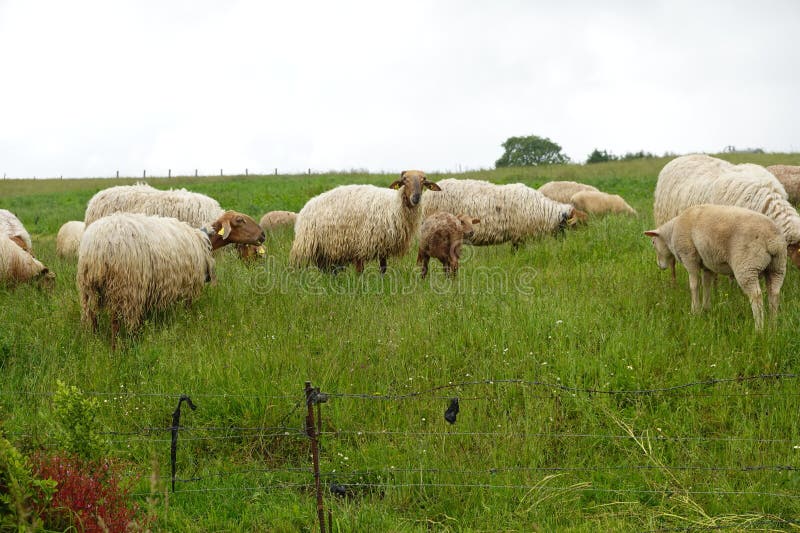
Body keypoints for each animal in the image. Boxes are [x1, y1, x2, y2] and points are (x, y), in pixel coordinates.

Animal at [77, 210, 265, 349]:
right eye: (240, 220)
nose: (263, 235)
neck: (204, 240)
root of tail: (99, 247)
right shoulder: (190, 286)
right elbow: (188, 310)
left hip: (89, 289)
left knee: (92, 319)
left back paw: (93, 344)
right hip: (127, 286)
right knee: (117, 322)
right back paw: (122, 348)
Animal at [290, 170, 441, 273]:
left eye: (423, 181)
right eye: (404, 180)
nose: (416, 198)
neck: (394, 206)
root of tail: (306, 207)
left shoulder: (382, 245)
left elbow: (383, 268)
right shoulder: (362, 243)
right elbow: (360, 270)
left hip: (326, 250)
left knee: (327, 269)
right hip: (305, 245)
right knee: (298, 265)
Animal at [644, 204, 786, 331]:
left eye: (653, 242)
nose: (659, 265)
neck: (672, 232)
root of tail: (772, 240)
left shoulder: (689, 257)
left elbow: (694, 285)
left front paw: (695, 310)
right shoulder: (707, 264)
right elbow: (706, 284)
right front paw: (706, 308)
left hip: (747, 266)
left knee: (756, 296)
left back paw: (759, 329)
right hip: (778, 267)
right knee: (774, 293)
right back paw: (773, 326)